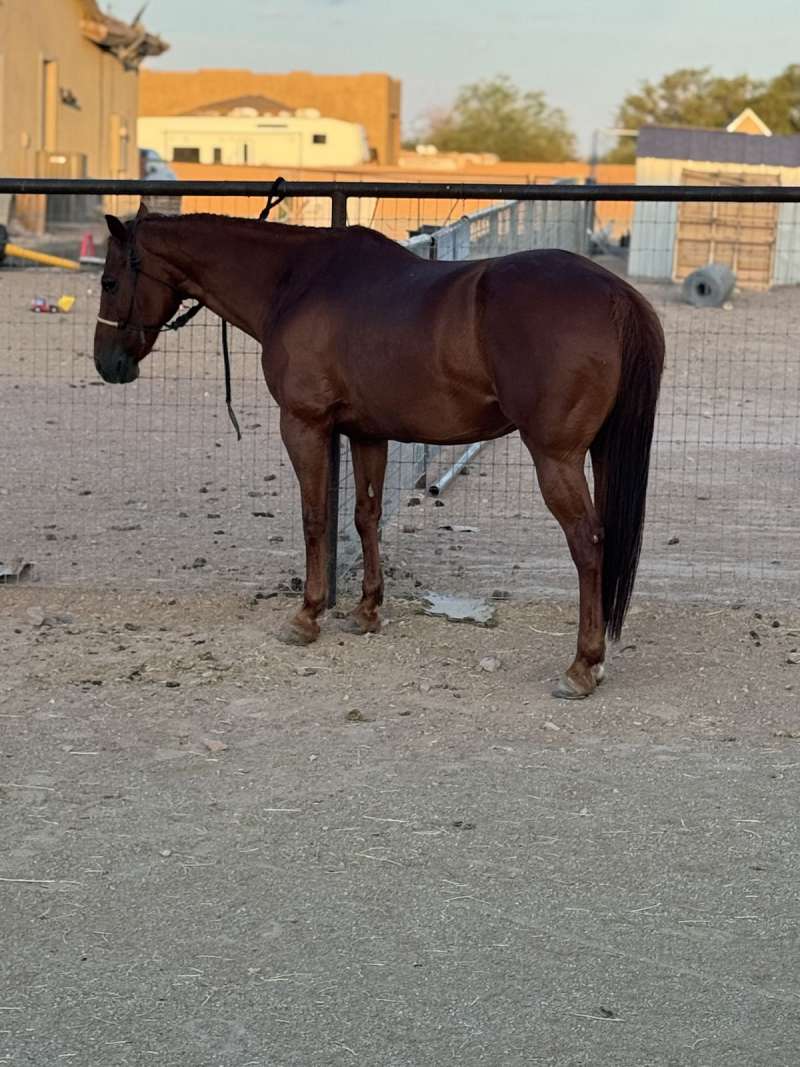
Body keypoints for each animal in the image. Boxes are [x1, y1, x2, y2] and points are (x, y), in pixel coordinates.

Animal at [93, 202, 664, 699]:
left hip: (556, 457)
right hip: (600, 453)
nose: (107, 363)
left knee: (587, 541)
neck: (296, 282)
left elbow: (316, 518)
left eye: (109, 281)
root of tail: (615, 293)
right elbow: (366, 516)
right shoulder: (367, 434)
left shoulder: (303, 425)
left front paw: (307, 616)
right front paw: (366, 611)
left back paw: (582, 666)